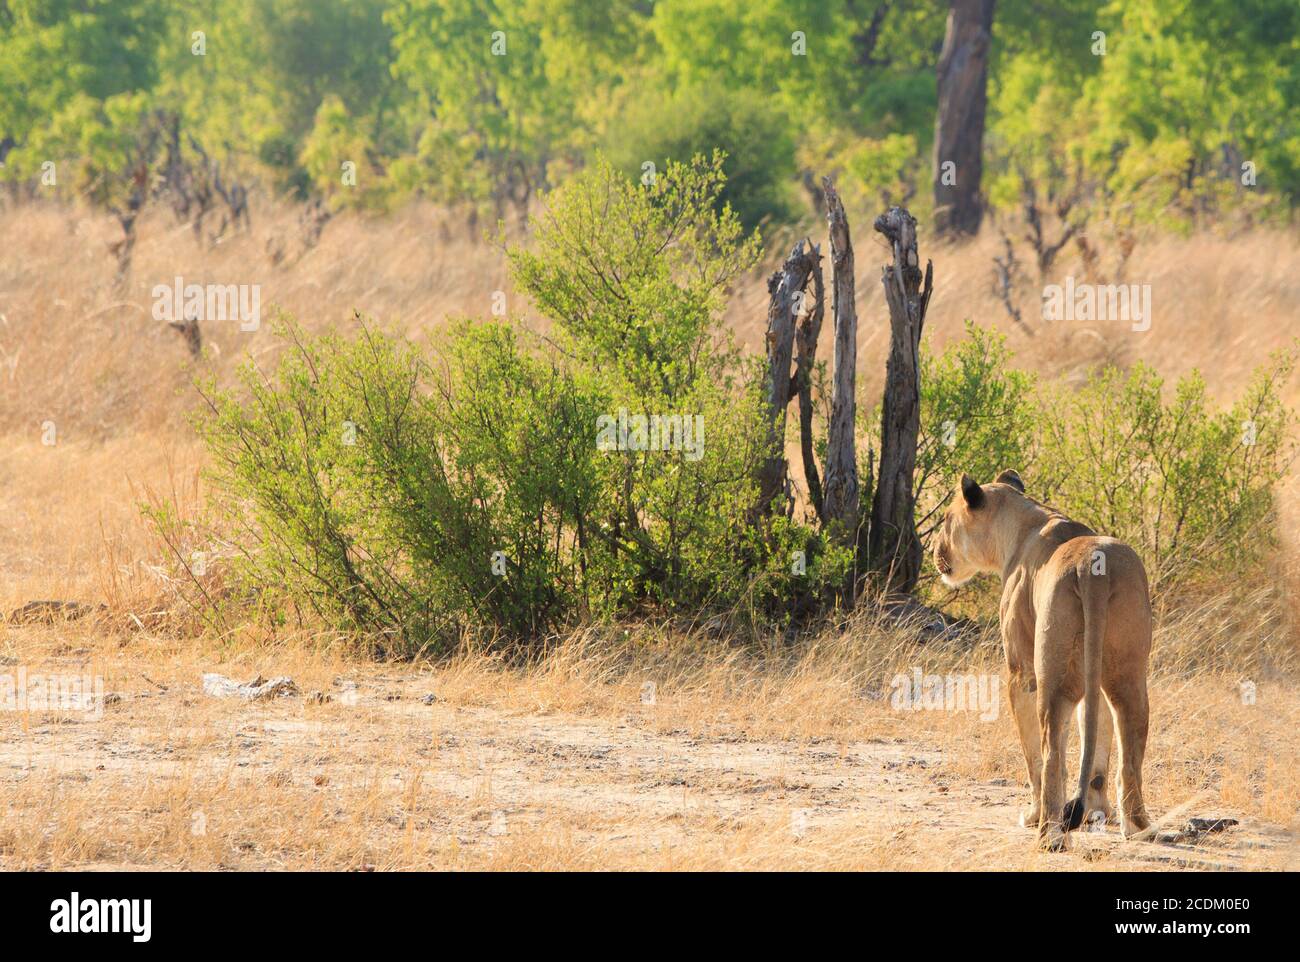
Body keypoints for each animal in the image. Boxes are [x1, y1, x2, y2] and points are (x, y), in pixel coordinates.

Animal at [932, 469, 1153, 850]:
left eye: (946, 519)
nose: (936, 551)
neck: (1023, 524)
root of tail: (1093, 567)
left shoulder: (1020, 672)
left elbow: (1031, 752)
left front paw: (1033, 813)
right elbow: (1097, 741)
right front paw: (1097, 812)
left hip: (1053, 675)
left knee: (1051, 755)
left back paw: (1050, 832)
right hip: (1129, 674)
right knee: (1128, 745)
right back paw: (1137, 826)